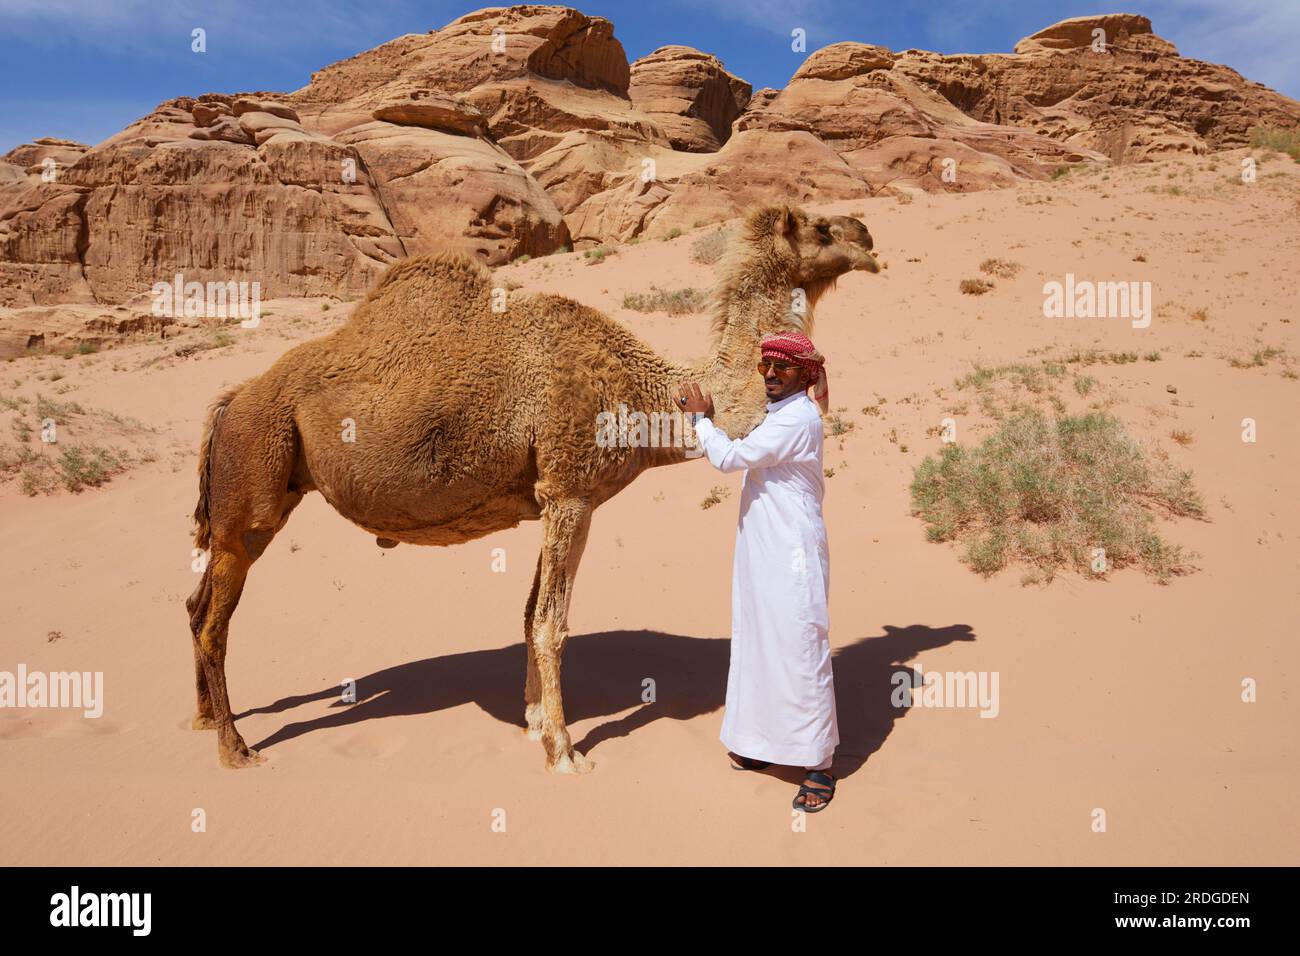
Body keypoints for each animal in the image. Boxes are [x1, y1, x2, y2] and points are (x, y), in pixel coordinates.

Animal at [185, 203, 879, 771]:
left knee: (196, 604)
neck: (640, 393)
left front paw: (535, 724)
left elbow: (527, 617)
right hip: (254, 478)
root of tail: (227, 403)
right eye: (820, 227)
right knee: (216, 620)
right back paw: (235, 748)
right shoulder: (570, 493)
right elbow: (552, 624)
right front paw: (564, 751)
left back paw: (203, 720)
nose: (869, 237)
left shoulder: (549, 499)